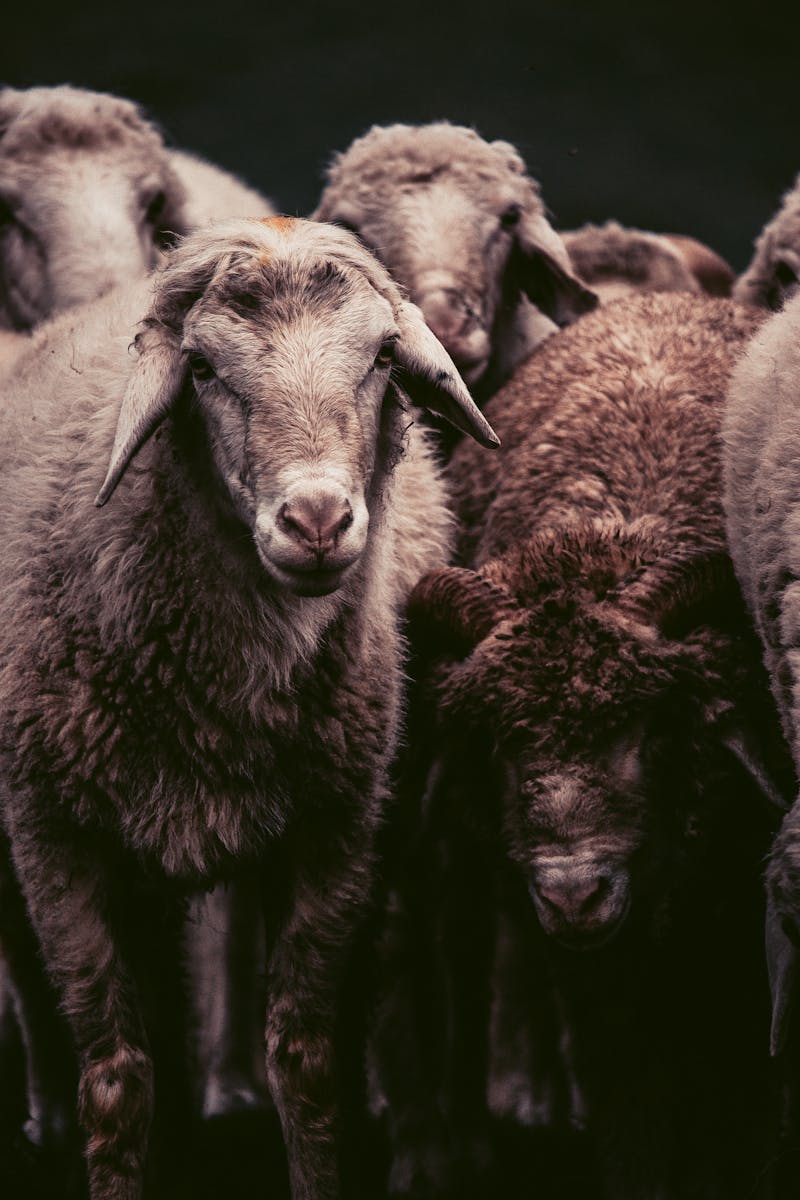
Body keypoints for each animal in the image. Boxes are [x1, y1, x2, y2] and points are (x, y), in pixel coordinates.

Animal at [0, 214, 498, 1200]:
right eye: (201, 369)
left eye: (384, 356)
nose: (316, 521)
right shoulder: (53, 833)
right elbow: (115, 1078)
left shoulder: (339, 831)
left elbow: (306, 1063)